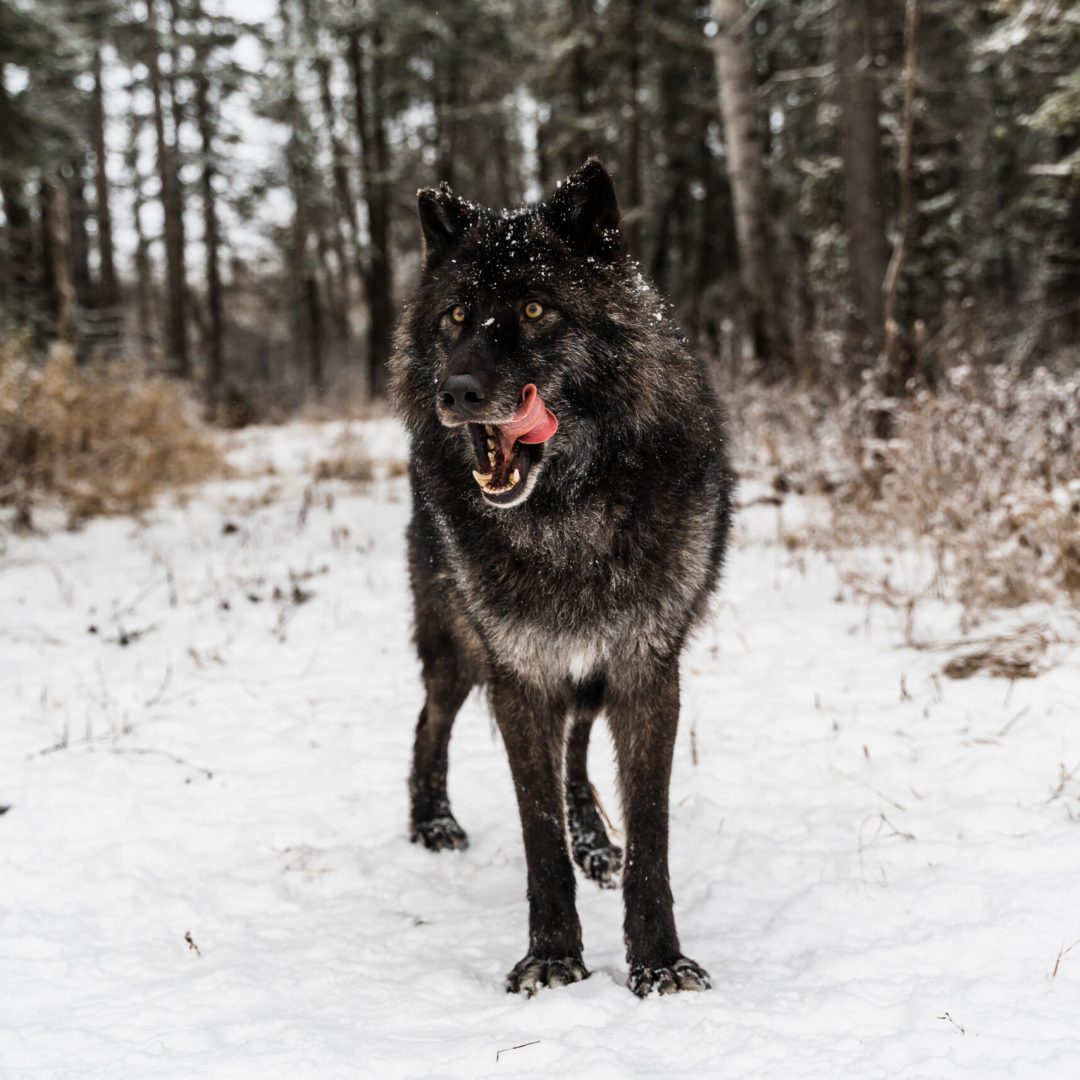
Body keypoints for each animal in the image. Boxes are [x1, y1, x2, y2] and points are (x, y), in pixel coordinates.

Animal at [389, 158, 734, 997]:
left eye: (536, 308)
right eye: (455, 316)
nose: (457, 392)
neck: (566, 515)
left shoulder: (645, 669)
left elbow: (651, 834)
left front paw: (658, 960)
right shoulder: (519, 673)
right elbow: (536, 831)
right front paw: (552, 957)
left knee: (577, 744)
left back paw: (595, 842)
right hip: (457, 645)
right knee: (429, 720)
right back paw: (433, 821)